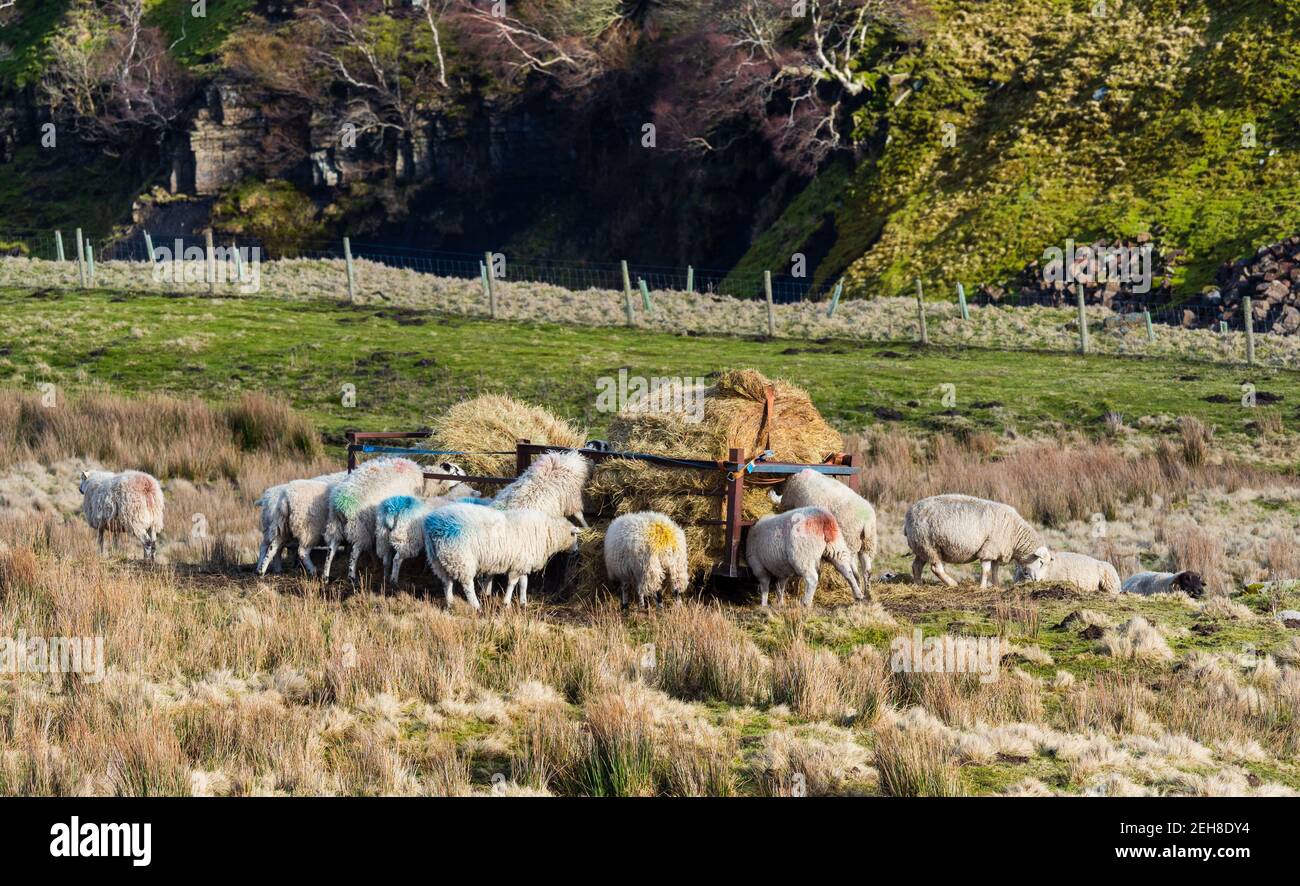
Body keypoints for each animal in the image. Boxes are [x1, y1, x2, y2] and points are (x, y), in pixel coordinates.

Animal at [423, 503, 580, 609]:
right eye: (575, 536)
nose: (577, 551)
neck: (547, 533)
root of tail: (433, 526)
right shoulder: (518, 565)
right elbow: (512, 583)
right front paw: (506, 603)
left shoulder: (523, 563)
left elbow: (524, 583)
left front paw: (523, 603)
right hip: (461, 557)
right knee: (467, 585)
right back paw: (476, 606)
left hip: (439, 559)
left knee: (446, 582)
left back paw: (450, 603)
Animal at [770, 468, 878, 599]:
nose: (774, 489)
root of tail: (866, 522)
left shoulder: (788, 501)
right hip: (867, 544)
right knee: (867, 571)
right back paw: (867, 594)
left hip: (850, 540)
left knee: (853, 569)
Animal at [904, 494, 1050, 589]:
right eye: (1041, 562)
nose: (1039, 580)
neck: (1015, 534)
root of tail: (909, 515)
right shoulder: (989, 549)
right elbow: (986, 570)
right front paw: (983, 587)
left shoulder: (996, 552)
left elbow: (995, 570)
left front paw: (996, 586)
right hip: (929, 545)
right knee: (936, 568)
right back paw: (953, 584)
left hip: (921, 546)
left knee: (916, 566)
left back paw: (918, 585)